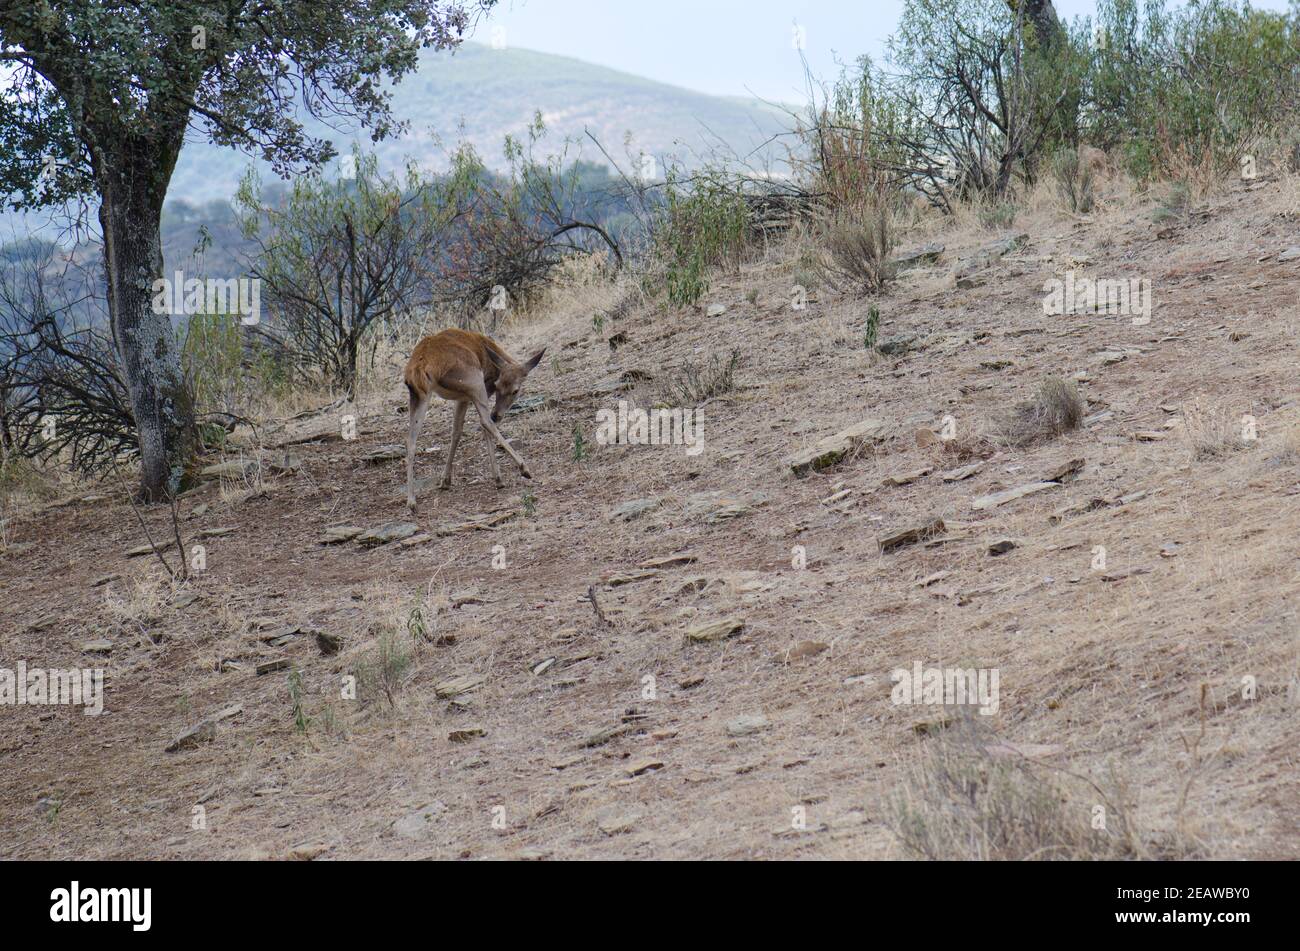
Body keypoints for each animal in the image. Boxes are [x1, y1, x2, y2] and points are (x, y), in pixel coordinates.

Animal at [403, 328, 545, 511]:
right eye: (499, 386)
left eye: (514, 391)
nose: (497, 414)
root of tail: (420, 367)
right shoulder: (476, 390)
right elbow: (478, 426)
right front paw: (498, 477)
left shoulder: (461, 398)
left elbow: (456, 431)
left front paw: (445, 481)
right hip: (474, 381)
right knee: (485, 422)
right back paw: (522, 469)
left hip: (419, 395)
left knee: (411, 440)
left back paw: (411, 501)